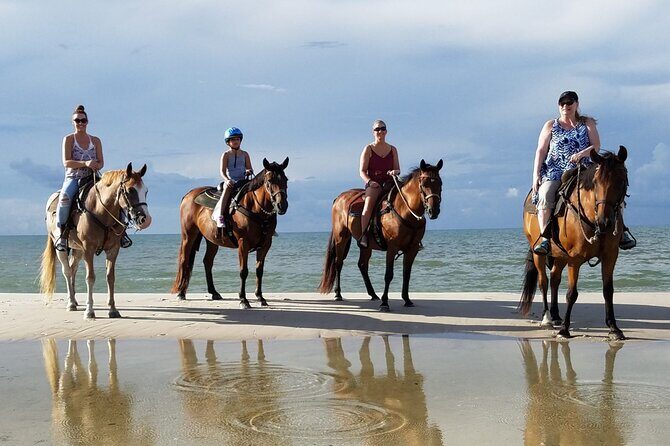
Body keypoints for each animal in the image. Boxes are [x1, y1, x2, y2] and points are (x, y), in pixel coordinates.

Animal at [39, 163, 151, 319]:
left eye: (146, 191)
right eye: (130, 190)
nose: (145, 220)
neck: (100, 211)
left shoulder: (113, 249)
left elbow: (110, 277)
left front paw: (113, 309)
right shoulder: (88, 249)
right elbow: (90, 277)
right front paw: (89, 311)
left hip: (77, 249)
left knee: (73, 269)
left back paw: (74, 300)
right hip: (61, 248)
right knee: (67, 271)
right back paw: (71, 303)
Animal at [171, 158, 289, 308]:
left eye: (285, 179)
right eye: (269, 180)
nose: (282, 205)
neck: (255, 208)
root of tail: (188, 195)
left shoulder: (266, 244)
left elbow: (259, 271)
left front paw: (261, 297)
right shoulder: (243, 243)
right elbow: (243, 271)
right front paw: (243, 300)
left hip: (212, 240)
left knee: (207, 262)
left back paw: (214, 292)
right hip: (188, 235)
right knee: (184, 260)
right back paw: (181, 292)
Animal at [318, 159, 443, 311]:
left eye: (440, 183)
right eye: (424, 184)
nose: (433, 211)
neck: (405, 210)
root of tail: (339, 198)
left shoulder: (412, 249)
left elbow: (406, 274)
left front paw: (407, 299)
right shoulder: (392, 247)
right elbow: (388, 274)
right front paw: (385, 303)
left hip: (365, 245)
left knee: (362, 265)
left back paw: (373, 294)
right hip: (341, 238)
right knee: (339, 263)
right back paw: (338, 294)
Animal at [519, 146, 630, 340]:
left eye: (621, 180)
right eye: (595, 182)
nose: (605, 222)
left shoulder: (610, 256)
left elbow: (608, 291)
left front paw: (614, 328)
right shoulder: (575, 259)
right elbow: (572, 293)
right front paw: (565, 329)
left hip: (560, 256)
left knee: (555, 279)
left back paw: (556, 315)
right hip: (538, 253)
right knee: (544, 281)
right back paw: (547, 318)